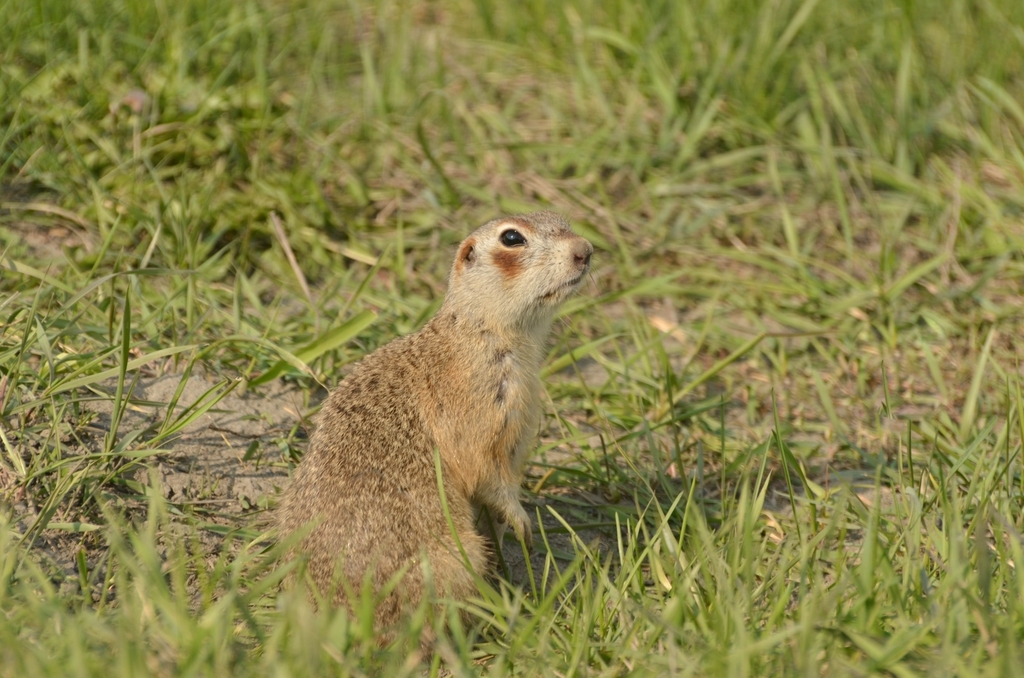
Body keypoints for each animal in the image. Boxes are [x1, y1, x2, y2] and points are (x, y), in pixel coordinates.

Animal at [277, 211, 593, 637]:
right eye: (512, 238)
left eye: (561, 219)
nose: (585, 250)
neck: (480, 330)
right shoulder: (478, 408)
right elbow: (486, 471)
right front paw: (521, 524)